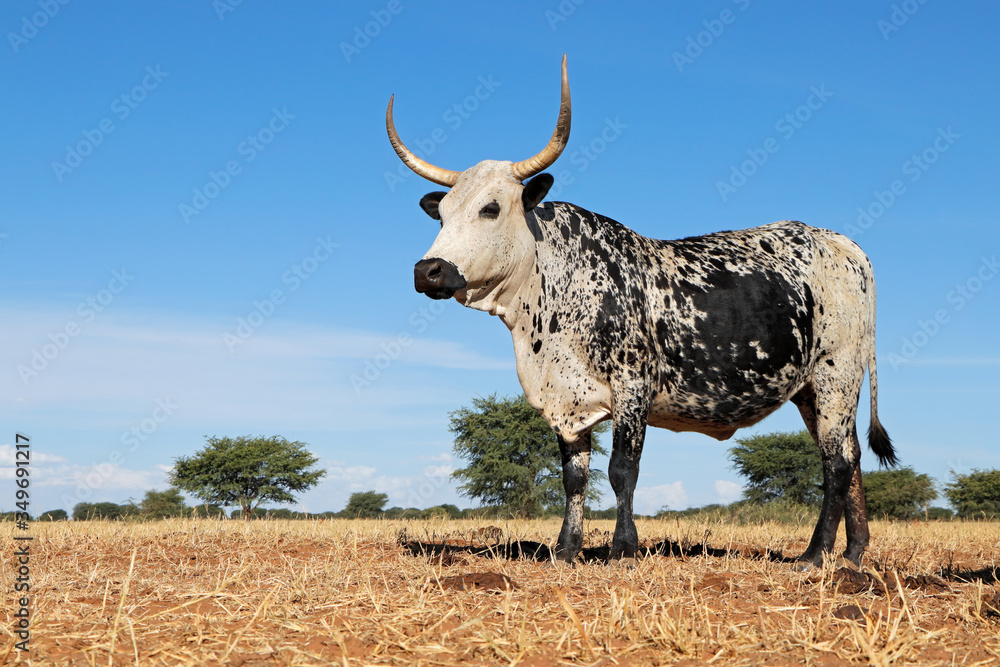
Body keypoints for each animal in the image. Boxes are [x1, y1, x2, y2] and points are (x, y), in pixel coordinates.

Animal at [387, 56, 895, 566]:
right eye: (442, 213)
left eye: (490, 208)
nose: (427, 270)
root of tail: (840, 243)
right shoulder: (567, 400)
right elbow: (574, 478)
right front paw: (566, 549)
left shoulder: (633, 388)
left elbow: (621, 470)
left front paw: (623, 549)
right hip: (813, 391)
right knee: (851, 461)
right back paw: (854, 552)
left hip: (835, 376)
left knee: (836, 463)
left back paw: (815, 554)